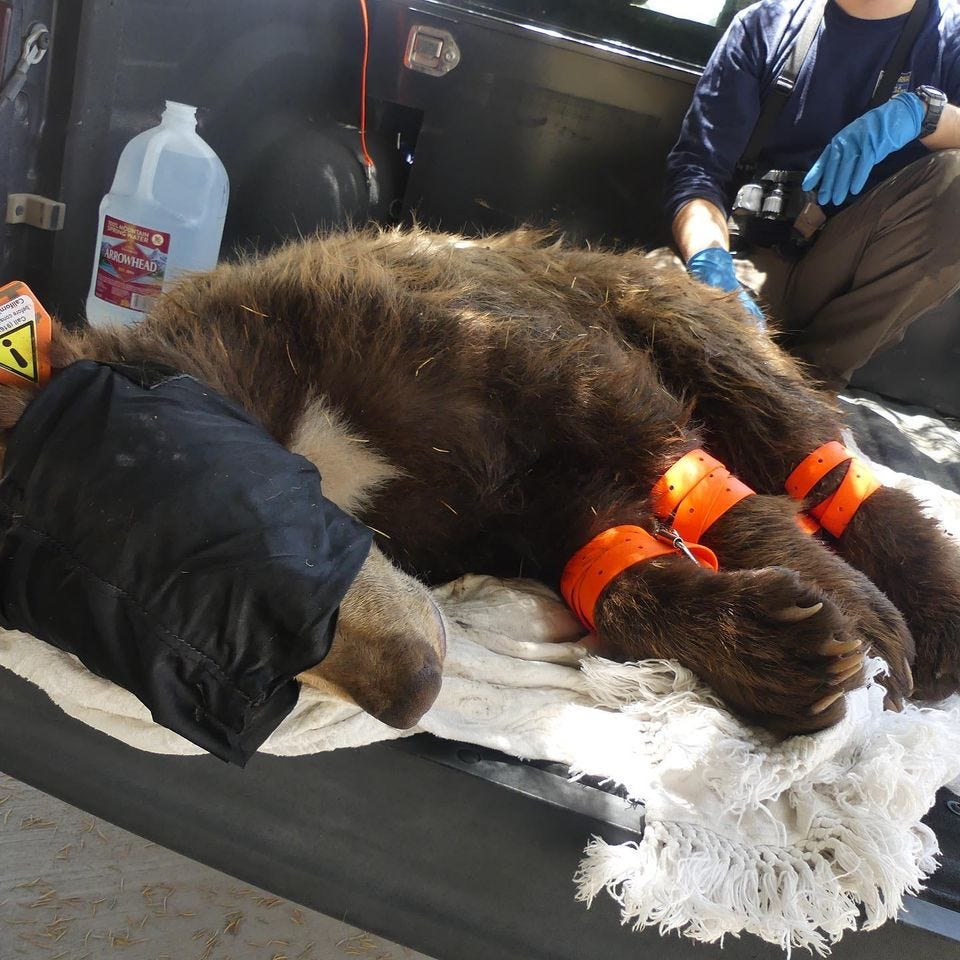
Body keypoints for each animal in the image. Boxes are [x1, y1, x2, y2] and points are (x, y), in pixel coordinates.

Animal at [3, 226, 959, 736]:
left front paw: (855, 616)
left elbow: (696, 485)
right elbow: (612, 568)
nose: (416, 691)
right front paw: (772, 652)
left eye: (239, 530)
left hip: (663, 313)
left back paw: (928, 603)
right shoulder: (521, 510)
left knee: (817, 455)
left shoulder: (524, 351)